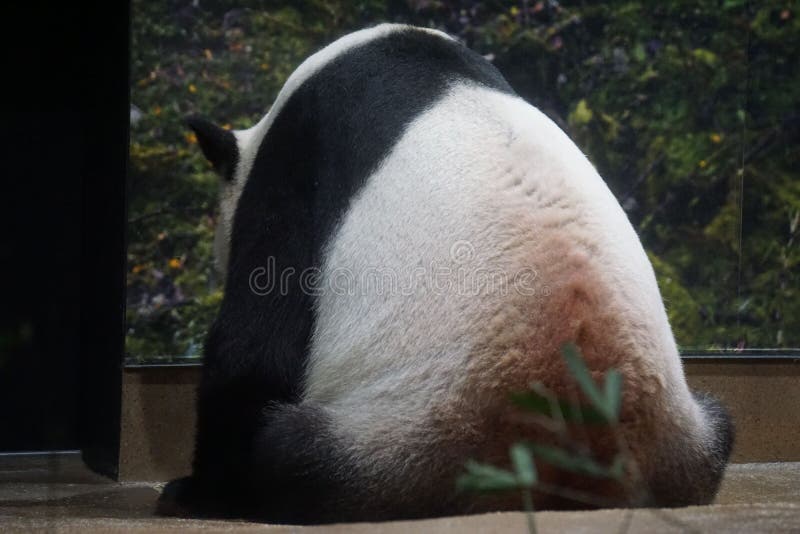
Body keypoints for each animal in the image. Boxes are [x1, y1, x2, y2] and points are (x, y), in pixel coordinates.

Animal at [158, 24, 733, 523]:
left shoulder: (298, 167)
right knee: (721, 422)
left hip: (403, 434)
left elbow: (255, 340)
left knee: (287, 453)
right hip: (680, 429)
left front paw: (191, 489)